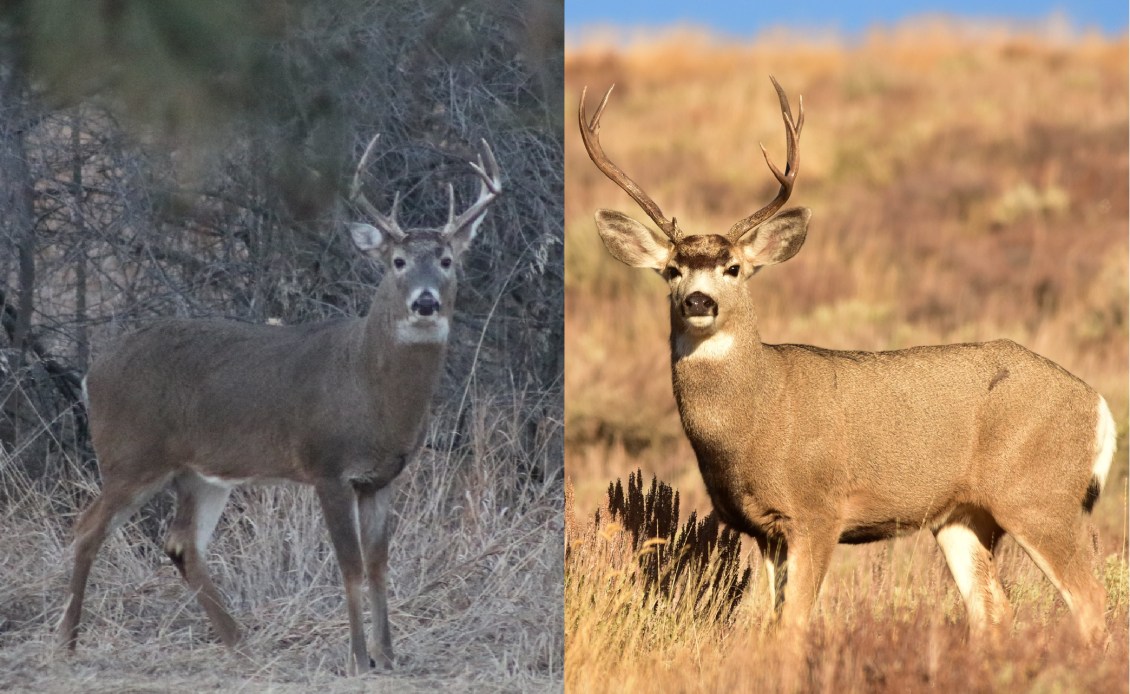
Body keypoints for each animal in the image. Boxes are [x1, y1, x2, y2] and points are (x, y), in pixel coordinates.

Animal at [57, 135, 502, 673]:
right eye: (397, 261)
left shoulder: (381, 478)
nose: (425, 302)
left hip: (199, 474)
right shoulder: (328, 467)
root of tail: (92, 373)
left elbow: (379, 566)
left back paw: (240, 642)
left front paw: (389, 656)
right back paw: (67, 643)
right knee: (86, 529)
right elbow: (350, 567)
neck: (370, 389)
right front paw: (359, 659)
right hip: (130, 456)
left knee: (181, 543)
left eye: (446, 260)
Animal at [578, 77, 1115, 645]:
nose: (699, 301)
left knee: (1089, 598)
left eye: (734, 268)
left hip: (1039, 496)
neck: (758, 417)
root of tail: (1097, 403)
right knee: (993, 610)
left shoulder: (818, 511)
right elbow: (773, 621)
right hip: (963, 516)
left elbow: (793, 624)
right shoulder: (766, 529)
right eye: (672, 270)